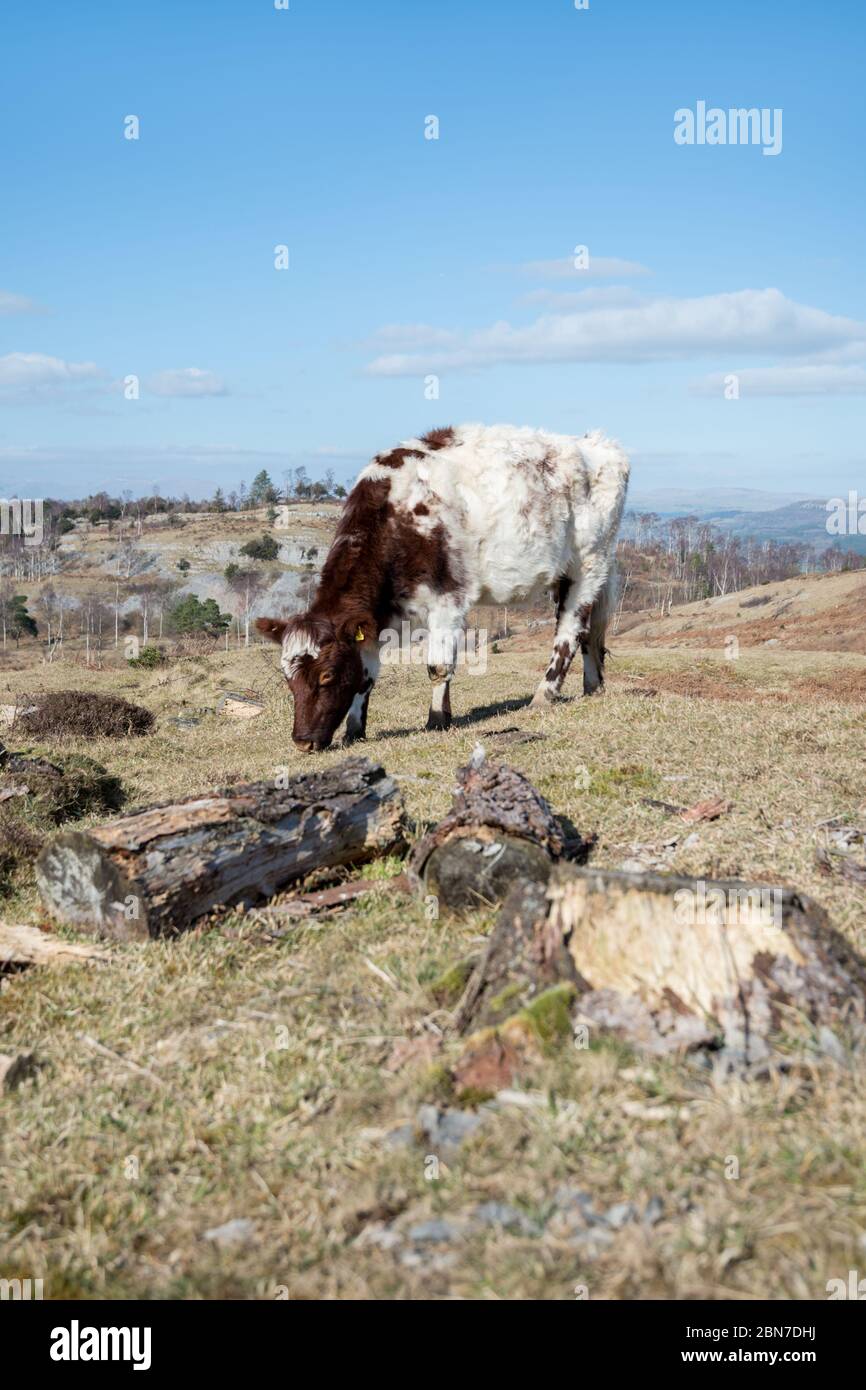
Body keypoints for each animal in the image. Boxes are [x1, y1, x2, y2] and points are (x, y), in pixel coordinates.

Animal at [256, 423, 629, 751]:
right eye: (288, 679)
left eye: (327, 676)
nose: (303, 742)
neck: (395, 515)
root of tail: (599, 444)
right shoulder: (375, 618)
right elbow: (366, 675)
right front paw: (355, 730)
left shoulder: (447, 599)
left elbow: (438, 667)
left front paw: (437, 719)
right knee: (590, 632)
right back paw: (592, 686)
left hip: (589, 562)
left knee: (570, 632)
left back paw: (544, 695)